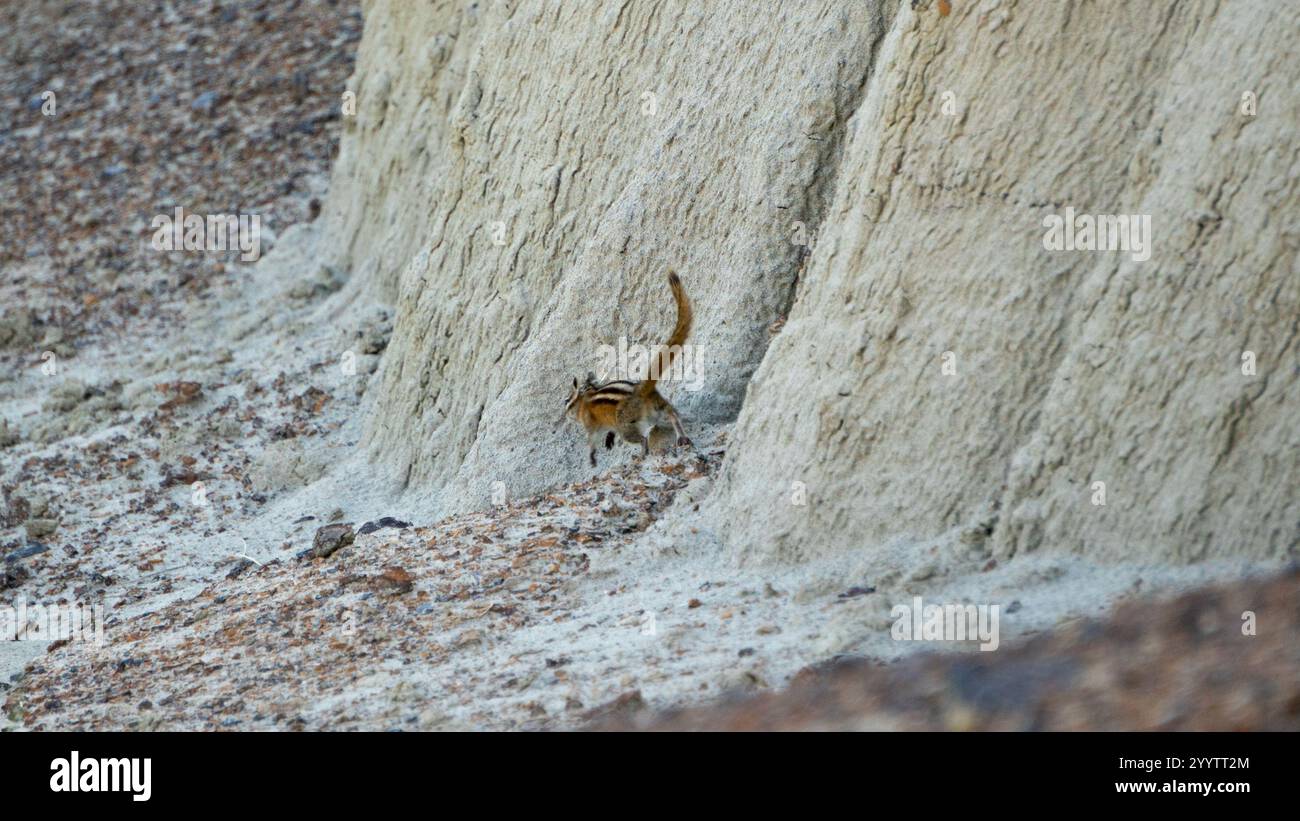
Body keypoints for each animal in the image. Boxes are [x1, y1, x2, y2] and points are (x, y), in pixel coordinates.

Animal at [563, 271, 694, 467]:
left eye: (567, 402)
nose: (565, 415)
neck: (585, 398)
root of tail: (641, 390)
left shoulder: (591, 425)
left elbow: (591, 440)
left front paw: (592, 457)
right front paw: (608, 439)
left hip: (627, 426)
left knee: (642, 439)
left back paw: (642, 455)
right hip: (656, 407)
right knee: (672, 413)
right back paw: (681, 437)